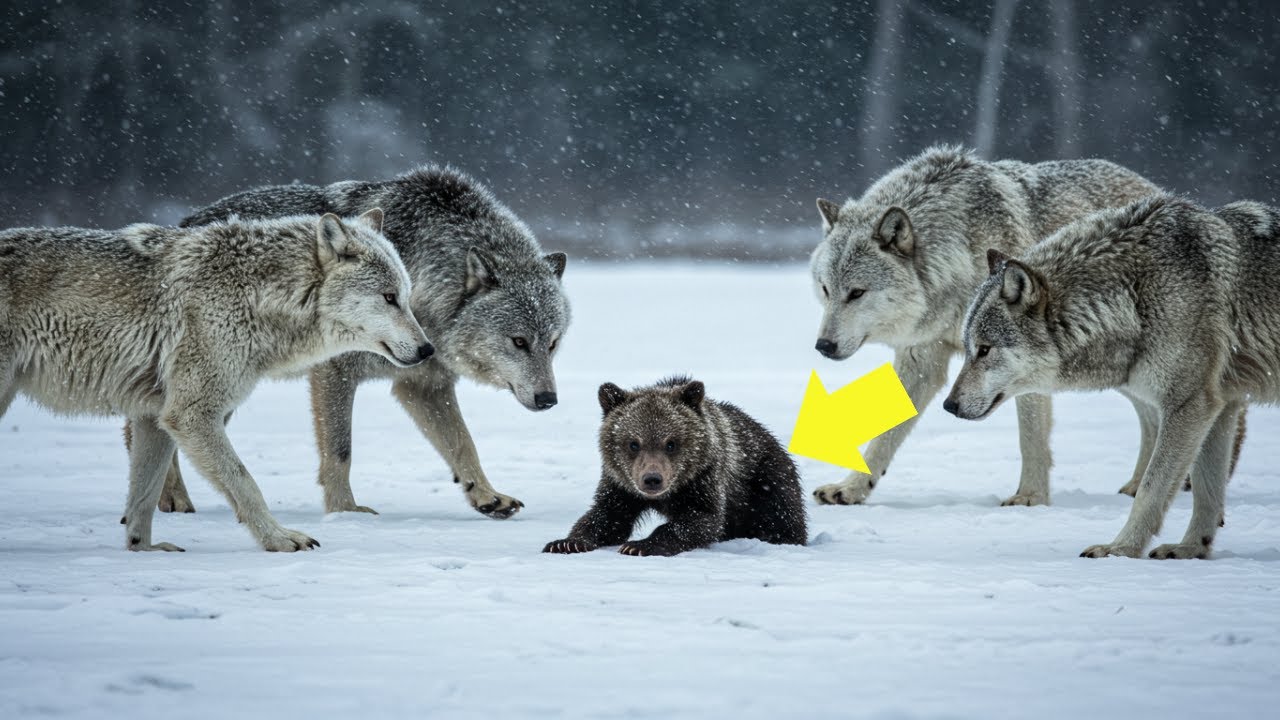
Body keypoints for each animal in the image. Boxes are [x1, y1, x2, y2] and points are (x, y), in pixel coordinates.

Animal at [0, 210, 431, 551]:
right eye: (388, 297)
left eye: (406, 296)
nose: (427, 350)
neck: (259, 296)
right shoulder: (191, 415)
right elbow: (245, 482)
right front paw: (279, 539)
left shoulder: (154, 417)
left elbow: (143, 499)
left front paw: (143, 550)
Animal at [151, 166, 570, 519]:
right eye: (519, 341)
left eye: (552, 344)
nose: (549, 400)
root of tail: (182, 223)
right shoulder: (333, 374)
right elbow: (340, 451)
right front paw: (345, 512)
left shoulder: (425, 385)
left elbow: (464, 444)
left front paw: (486, 495)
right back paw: (172, 500)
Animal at [543, 376, 808, 556]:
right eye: (633, 443)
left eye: (670, 443)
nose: (652, 479)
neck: (669, 493)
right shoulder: (621, 483)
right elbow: (606, 516)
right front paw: (565, 542)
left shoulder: (704, 478)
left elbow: (700, 519)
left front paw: (639, 545)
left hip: (765, 477)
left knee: (781, 516)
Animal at [808, 145, 1160, 507]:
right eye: (826, 289)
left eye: (857, 293)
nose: (823, 346)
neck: (957, 259)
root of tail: (1149, 186)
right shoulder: (921, 358)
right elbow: (884, 435)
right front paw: (850, 489)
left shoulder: (1023, 363)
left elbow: (1031, 437)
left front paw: (1029, 498)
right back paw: (1137, 485)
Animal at [943, 194, 1269, 558]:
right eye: (968, 348)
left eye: (984, 350)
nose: (948, 405)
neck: (1134, 296)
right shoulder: (1219, 406)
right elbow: (1206, 492)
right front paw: (1191, 550)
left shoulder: (1191, 404)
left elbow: (1152, 488)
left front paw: (1121, 549)